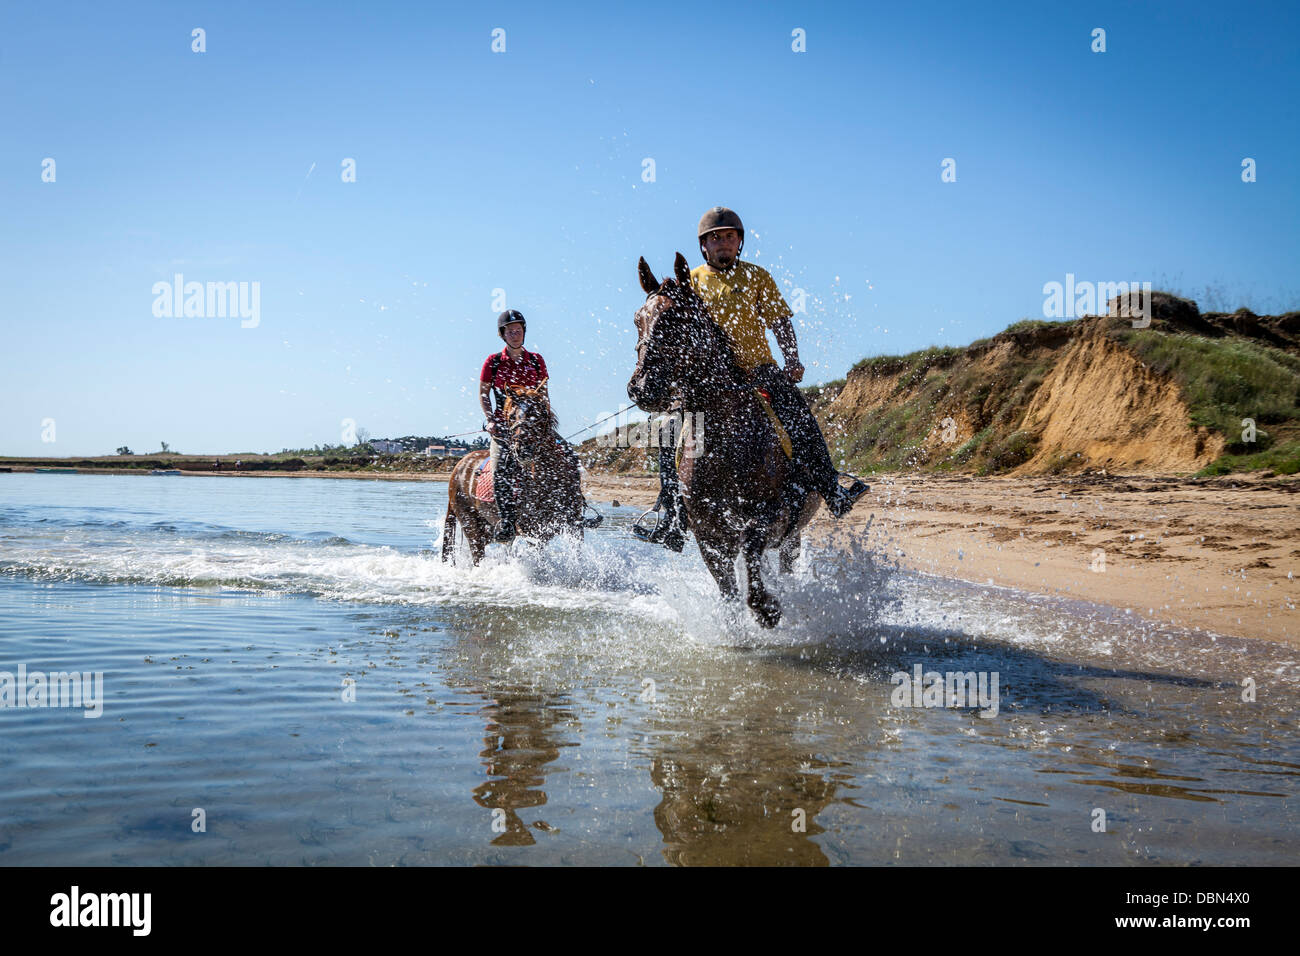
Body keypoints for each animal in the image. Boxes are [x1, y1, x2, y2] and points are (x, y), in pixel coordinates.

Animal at [441, 387, 594, 565]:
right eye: (512, 416)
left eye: (538, 414)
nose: (523, 447)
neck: (549, 480)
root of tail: (458, 467)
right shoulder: (535, 532)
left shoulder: (574, 528)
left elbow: (578, 556)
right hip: (471, 527)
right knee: (477, 556)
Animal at [627, 253, 818, 628]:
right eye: (638, 320)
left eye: (676, 319)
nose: (641, 387)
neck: (727, 442)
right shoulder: (708, 533)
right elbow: (728, 594)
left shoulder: (768, 517)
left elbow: (752, 554)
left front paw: (767, 610)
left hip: (793, 535)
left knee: (784, 565)